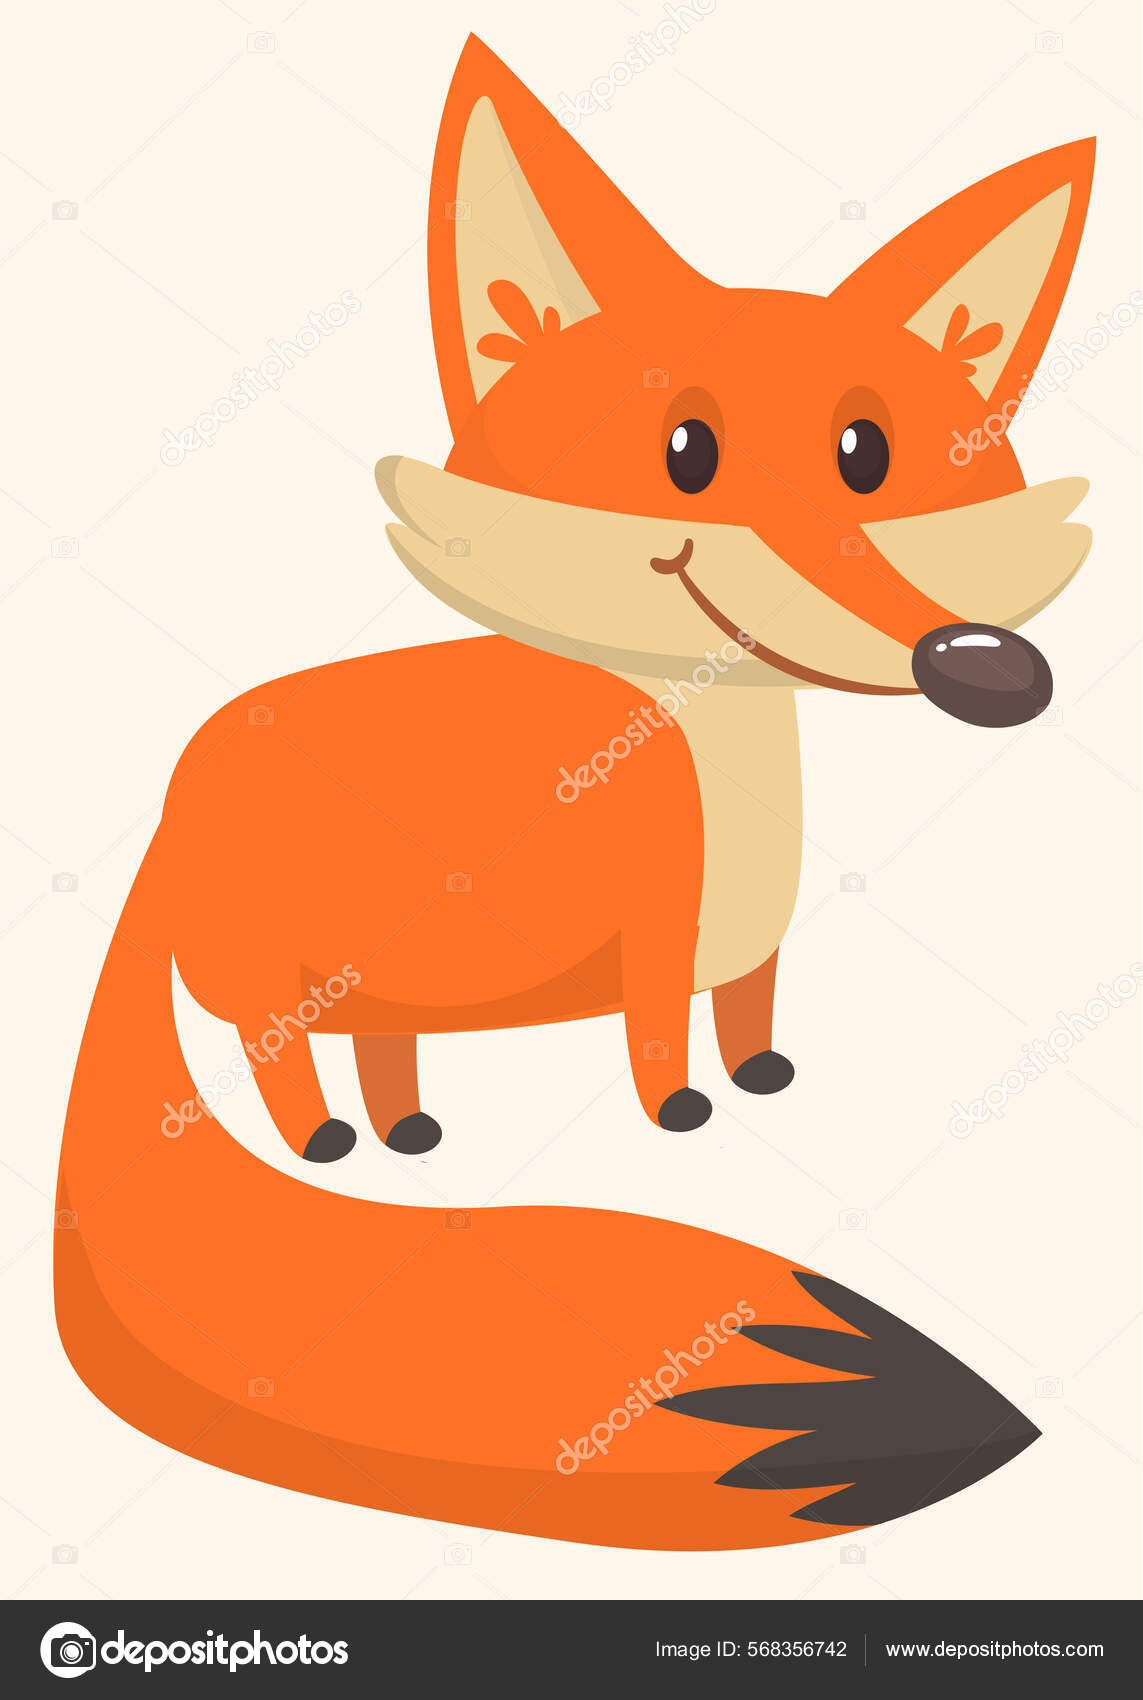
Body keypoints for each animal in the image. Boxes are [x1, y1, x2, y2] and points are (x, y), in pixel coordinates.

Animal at [57, 38, 1093, 1550]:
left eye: (867, 457)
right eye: (685, 457)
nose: (987, 670)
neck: (727, 771)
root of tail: (184, 769)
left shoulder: (749, 948)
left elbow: (751, 1015)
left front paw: (764, 1079)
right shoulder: (656, 937)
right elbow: (663, 1043)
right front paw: (685, 1116)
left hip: (383, 978)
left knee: (382, 1053)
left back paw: (408, 1130)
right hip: (269, 974)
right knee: (279, 1060)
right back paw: (326, 1140)